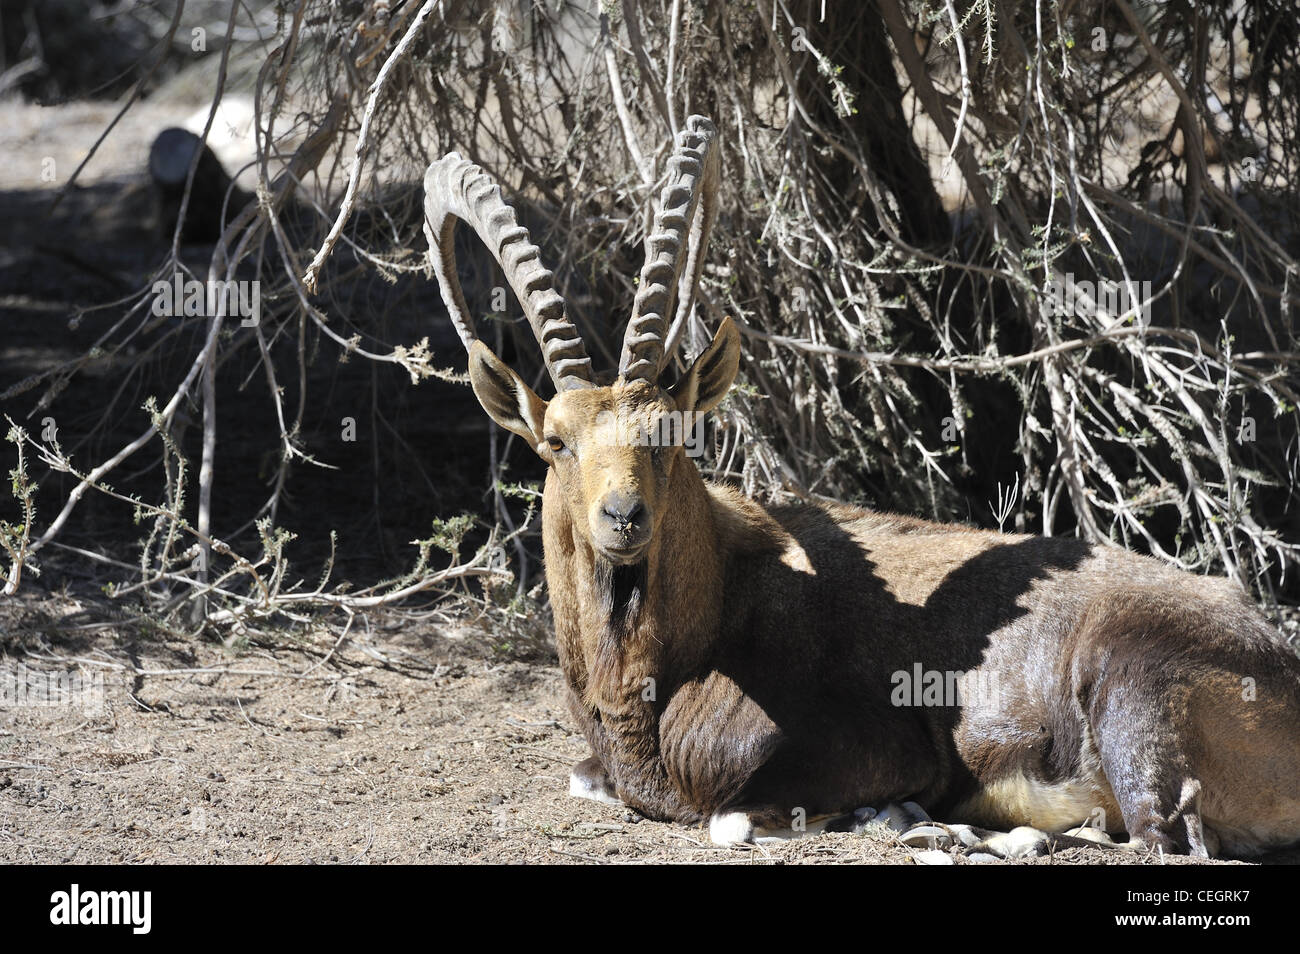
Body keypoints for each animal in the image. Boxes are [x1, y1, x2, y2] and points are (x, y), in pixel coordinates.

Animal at [423, 116, 1300, 857]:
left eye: (673, 435)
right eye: (556, 443)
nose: (623, 517)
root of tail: (1276, 660)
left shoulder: (869, 752)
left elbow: (732, 819)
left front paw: (900, 814)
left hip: (1132, 691)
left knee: (1166, 841)